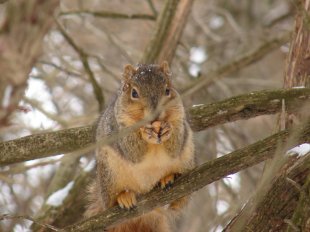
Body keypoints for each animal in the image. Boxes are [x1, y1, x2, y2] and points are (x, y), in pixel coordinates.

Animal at [85, 61, 195, 232]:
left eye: (168, 90)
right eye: (134, 93)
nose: (155, 115)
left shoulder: (180, 121)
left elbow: (175, 146)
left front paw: (168, 129)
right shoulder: (119, 130)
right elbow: (133, 151)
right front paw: (145, 132)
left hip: (187, 162)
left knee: (176, 205)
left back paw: (169, 180)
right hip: (109, 176)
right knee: (111, 201)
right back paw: (124, 197)